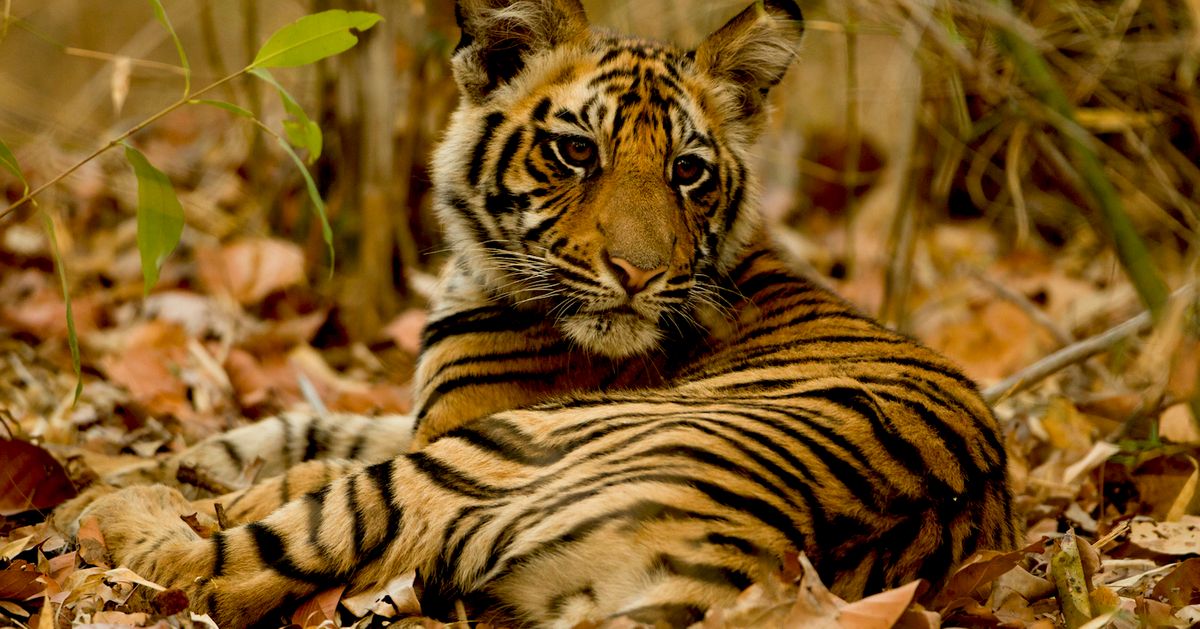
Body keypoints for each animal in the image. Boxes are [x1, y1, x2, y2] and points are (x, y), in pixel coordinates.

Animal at [64, 0, 1019, 626]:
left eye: (688, 171)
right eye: (574, 151)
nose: (640, 272)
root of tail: (749, 556)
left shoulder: (458, 419)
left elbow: (324, 456)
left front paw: (194, 476)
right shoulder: (424, 410)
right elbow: (320, 421)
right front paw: (207, 453)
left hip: (485, 454)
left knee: (241, 563)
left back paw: (122, 508)